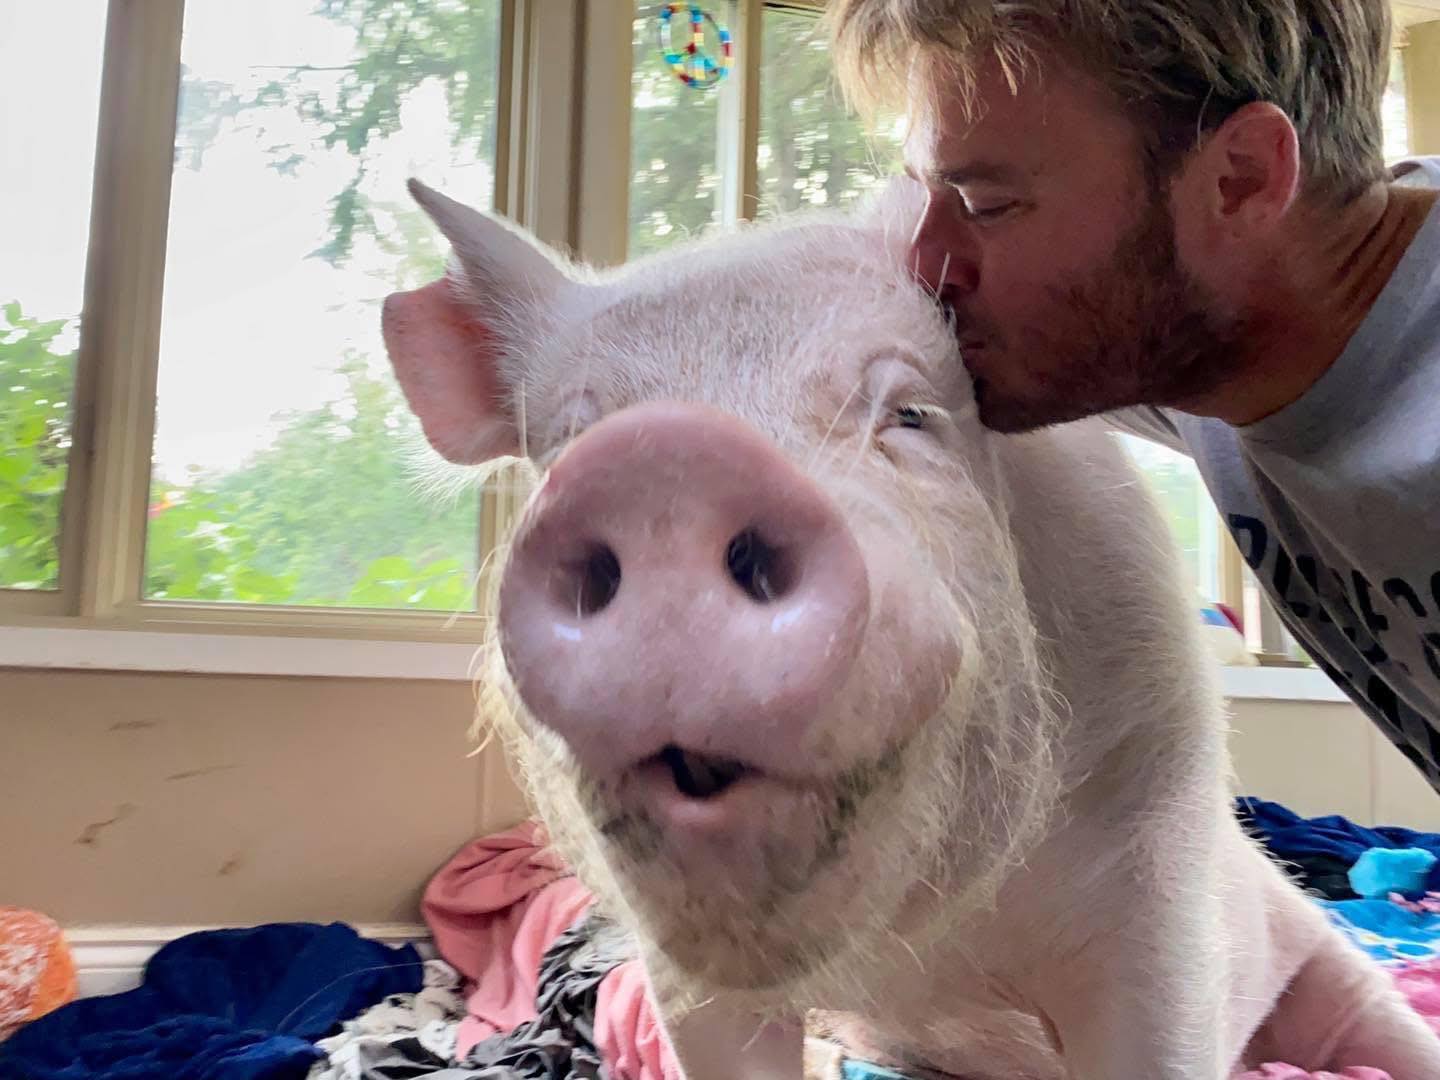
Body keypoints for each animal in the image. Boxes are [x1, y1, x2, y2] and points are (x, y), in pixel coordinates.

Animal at [382, 176, 1440, 1080]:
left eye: (912, 413)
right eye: (565, 442)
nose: (664, 461)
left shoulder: (1158, 864)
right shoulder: (688, 976)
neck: (927, 955)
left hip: (1320, 947)